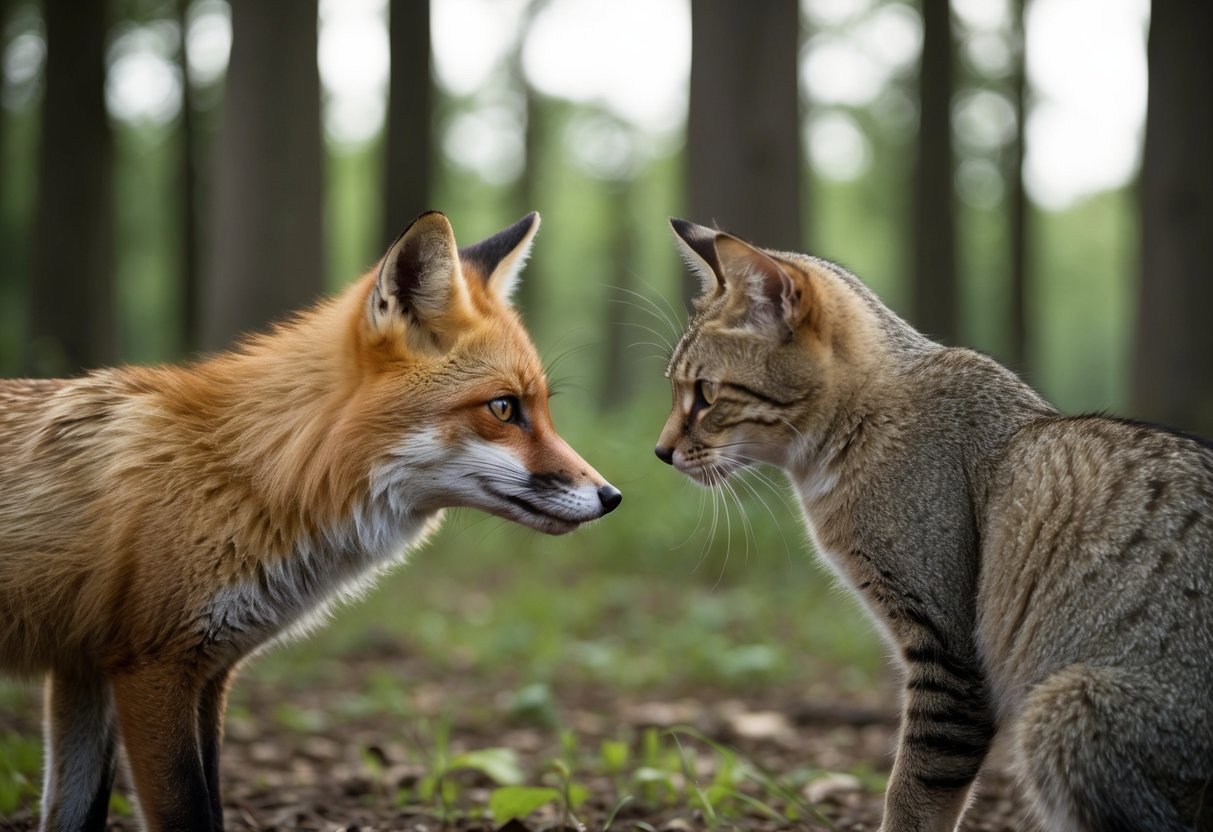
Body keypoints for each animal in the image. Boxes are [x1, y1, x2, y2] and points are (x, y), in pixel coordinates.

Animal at [0, 210, 621, 832]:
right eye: (504, 407)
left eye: (542, 408)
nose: (611, 496)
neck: (258, 473)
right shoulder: (152, 667)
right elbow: (190, 811)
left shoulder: (136, 672)